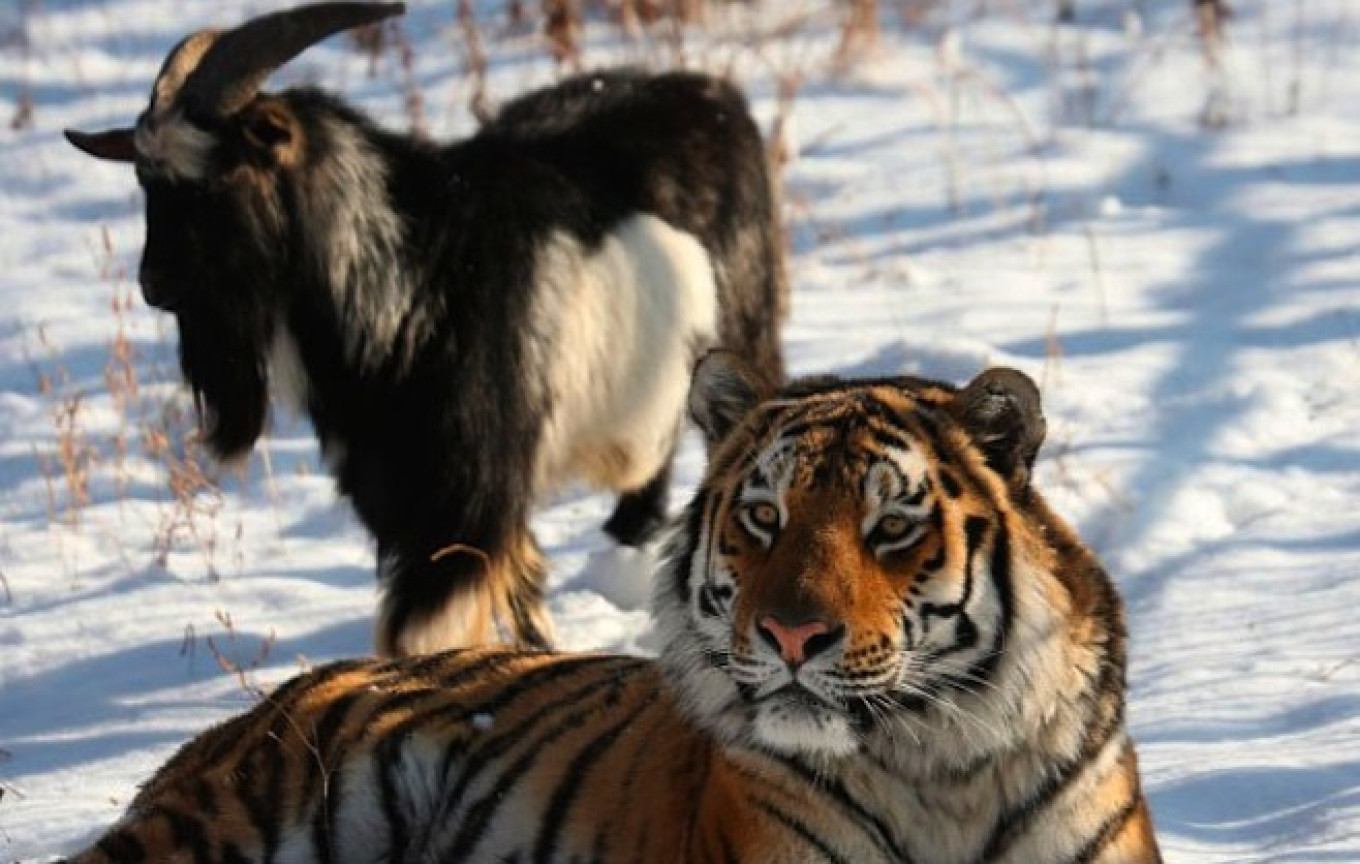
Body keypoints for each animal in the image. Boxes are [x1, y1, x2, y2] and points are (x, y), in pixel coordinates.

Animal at [65, 1, 787, 656]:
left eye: (218, 180)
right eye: (146, 180)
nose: (153, 283)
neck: (411, 279)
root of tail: (712, 94)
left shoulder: (467, 491)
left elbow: (421, 630)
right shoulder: (401, 495)